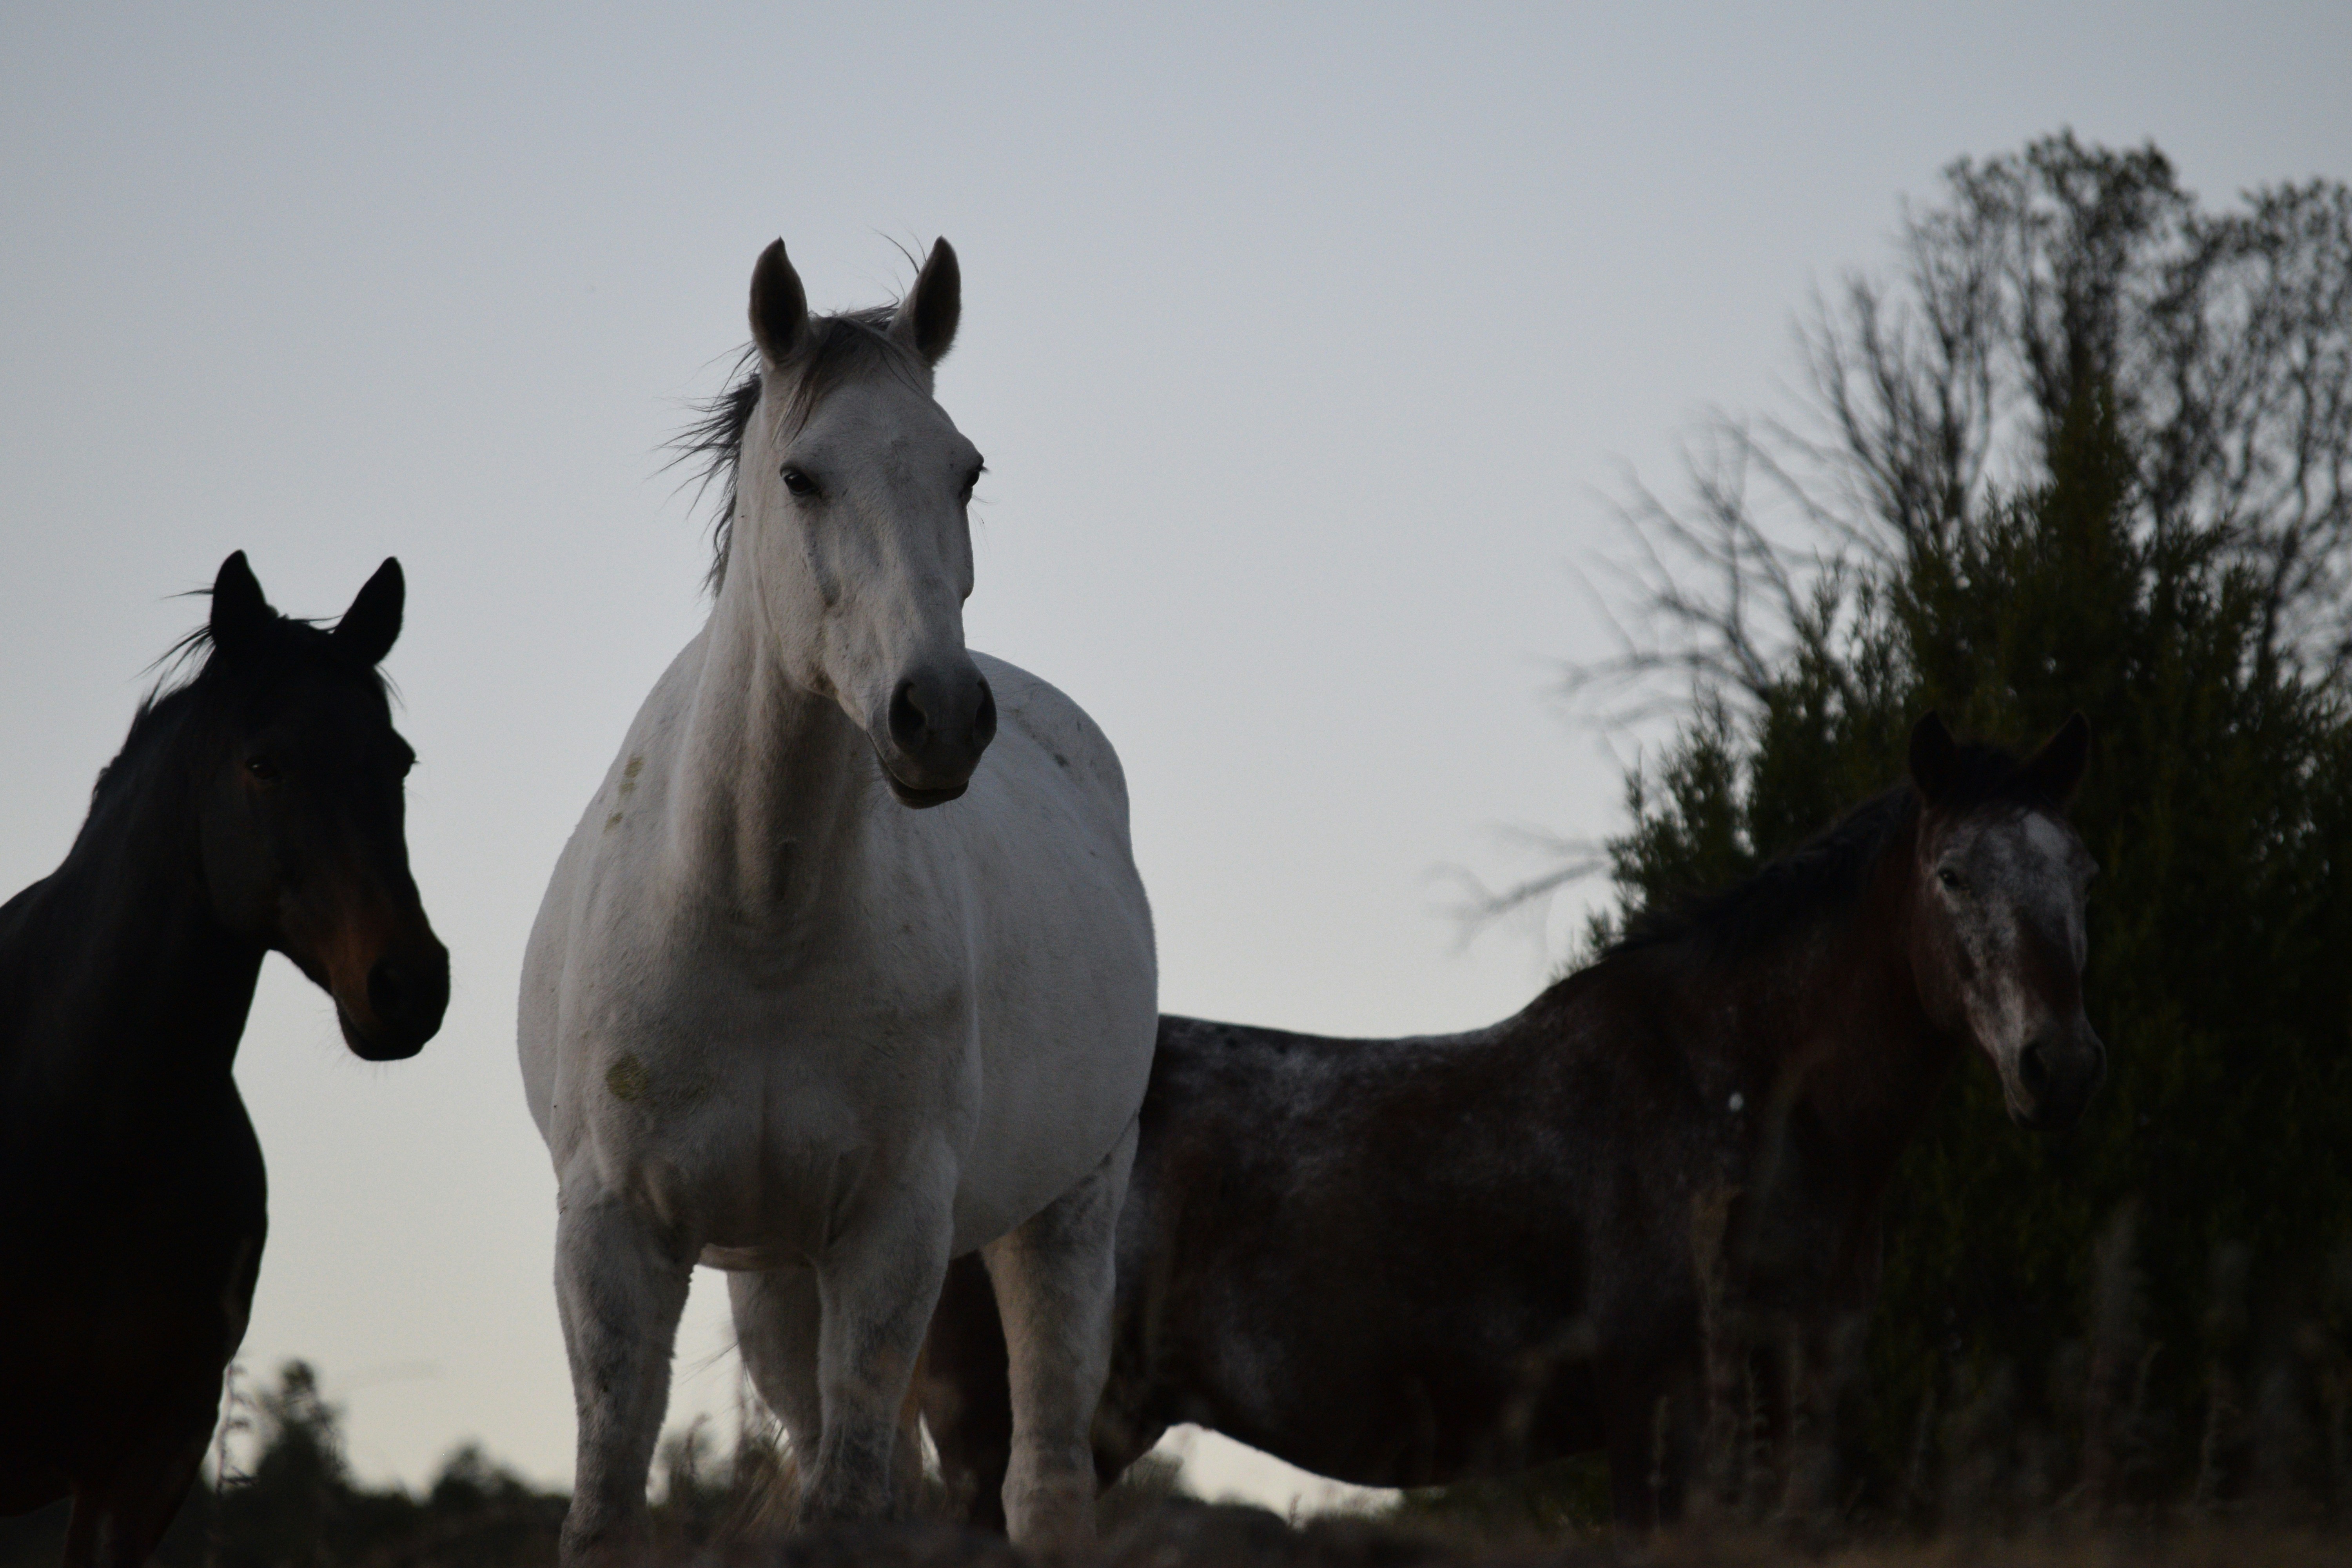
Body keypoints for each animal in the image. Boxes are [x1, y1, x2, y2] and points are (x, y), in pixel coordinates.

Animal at [517, 237, 1157, 1560]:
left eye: (967, 470)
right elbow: (608, 1500)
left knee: (1044, 1479)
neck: (760, 913)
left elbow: (853, 1504)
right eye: (802, 477)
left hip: (1066, 1216)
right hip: (768, 1269)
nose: (940, 714)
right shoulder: (613, 1234)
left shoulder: (890, 1228)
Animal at [920, 711, 2104, 1531]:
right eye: (1952, 873)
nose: (2059, 1067)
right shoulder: (1663, 1417)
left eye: (2083, 869)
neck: (1738, 1095)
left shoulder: (1801, 1414)